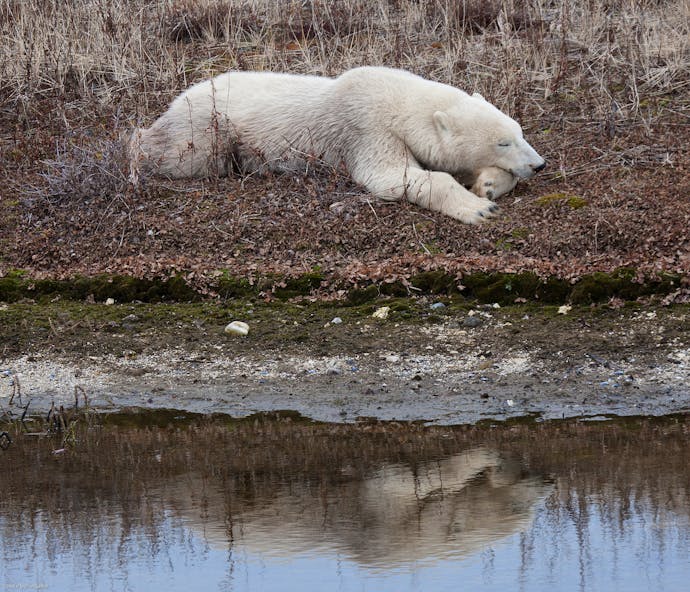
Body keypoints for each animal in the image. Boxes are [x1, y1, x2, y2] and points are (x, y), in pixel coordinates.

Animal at [131, 67, 545, 224]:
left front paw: (487, 185)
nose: (539, 164)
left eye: (519, 132)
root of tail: (179, 98)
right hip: (208, 127)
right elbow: (391, 176)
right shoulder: (367, 128)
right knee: (181, 154)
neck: (398, 101)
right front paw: (478, 208)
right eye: (502, 142)